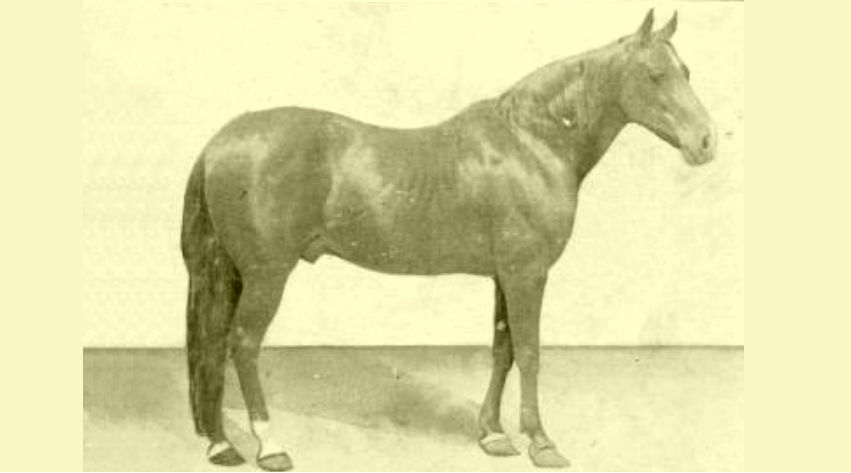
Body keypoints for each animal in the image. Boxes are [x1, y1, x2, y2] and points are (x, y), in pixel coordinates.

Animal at [180, 9, 716, 471]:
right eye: (654, 74)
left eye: (686, 71)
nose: (706, 142)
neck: (532, 143)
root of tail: (221, 140)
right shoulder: (528, 274)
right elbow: (531, 353)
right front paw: (541, 443)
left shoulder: (505, 276)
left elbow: (504, 350)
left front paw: (493, 435)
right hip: (267, 275)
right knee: (243, 344)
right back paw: (270, 446)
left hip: (234, 274)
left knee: (213, 344)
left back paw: (222, 444)